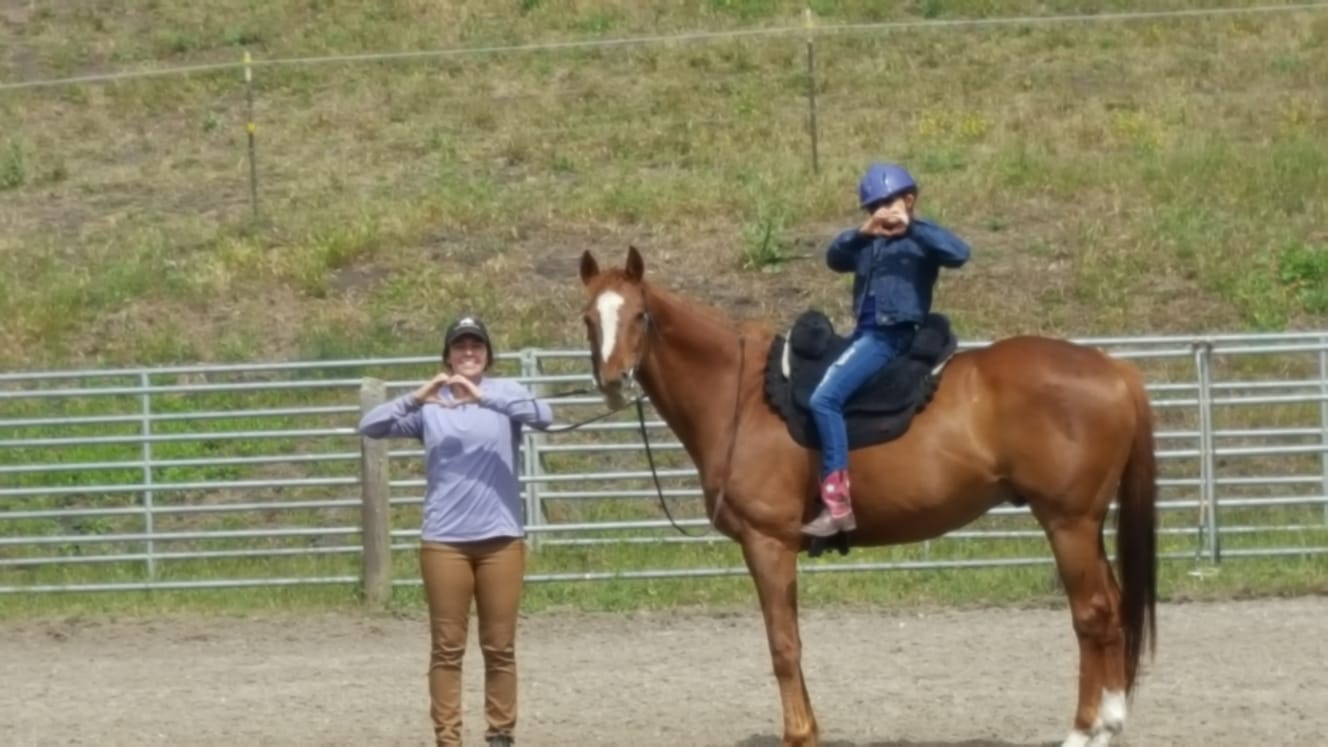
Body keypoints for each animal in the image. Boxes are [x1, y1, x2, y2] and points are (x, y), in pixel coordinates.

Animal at [577, 246, 1158, 747]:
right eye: (588, 318)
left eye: (640, 316)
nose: (614, 380)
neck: (739, 396)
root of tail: (1115, 369)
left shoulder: (768, 543)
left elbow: (783, 645)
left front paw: (799, 735)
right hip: (1086, 524)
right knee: (1112, 609)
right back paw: (1108, 724)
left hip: (1068, 523)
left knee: (1093, 614)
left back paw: (1084, 732)